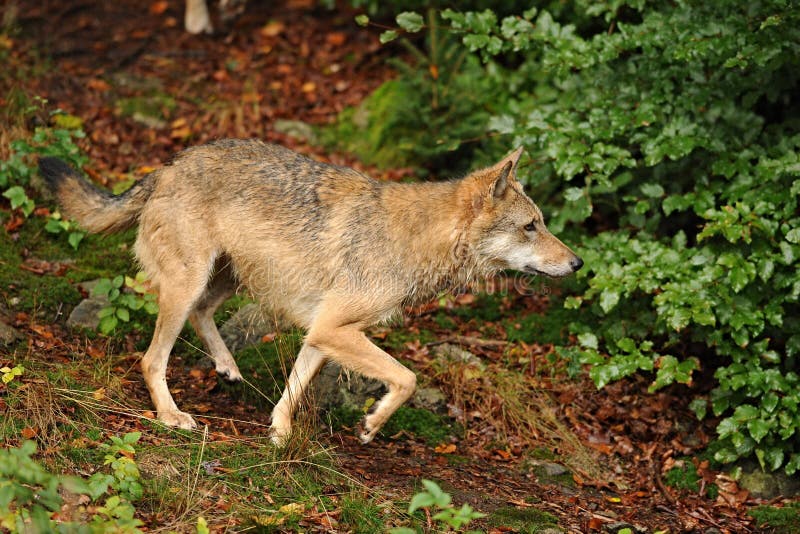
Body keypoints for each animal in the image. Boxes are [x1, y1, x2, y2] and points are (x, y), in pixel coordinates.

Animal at [39, 139, 582, 444]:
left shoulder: (321, 333)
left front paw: (278, 434)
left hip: (225, 281)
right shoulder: (336, 329)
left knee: (202, 316)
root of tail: (168, 166)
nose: (577, 263)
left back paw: (227, 368)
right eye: (532, 226)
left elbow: (294, 389)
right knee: (152, 359)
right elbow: (406, 379)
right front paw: (371, 425)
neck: (413, 239)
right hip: (189, 285)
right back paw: (172, 416)